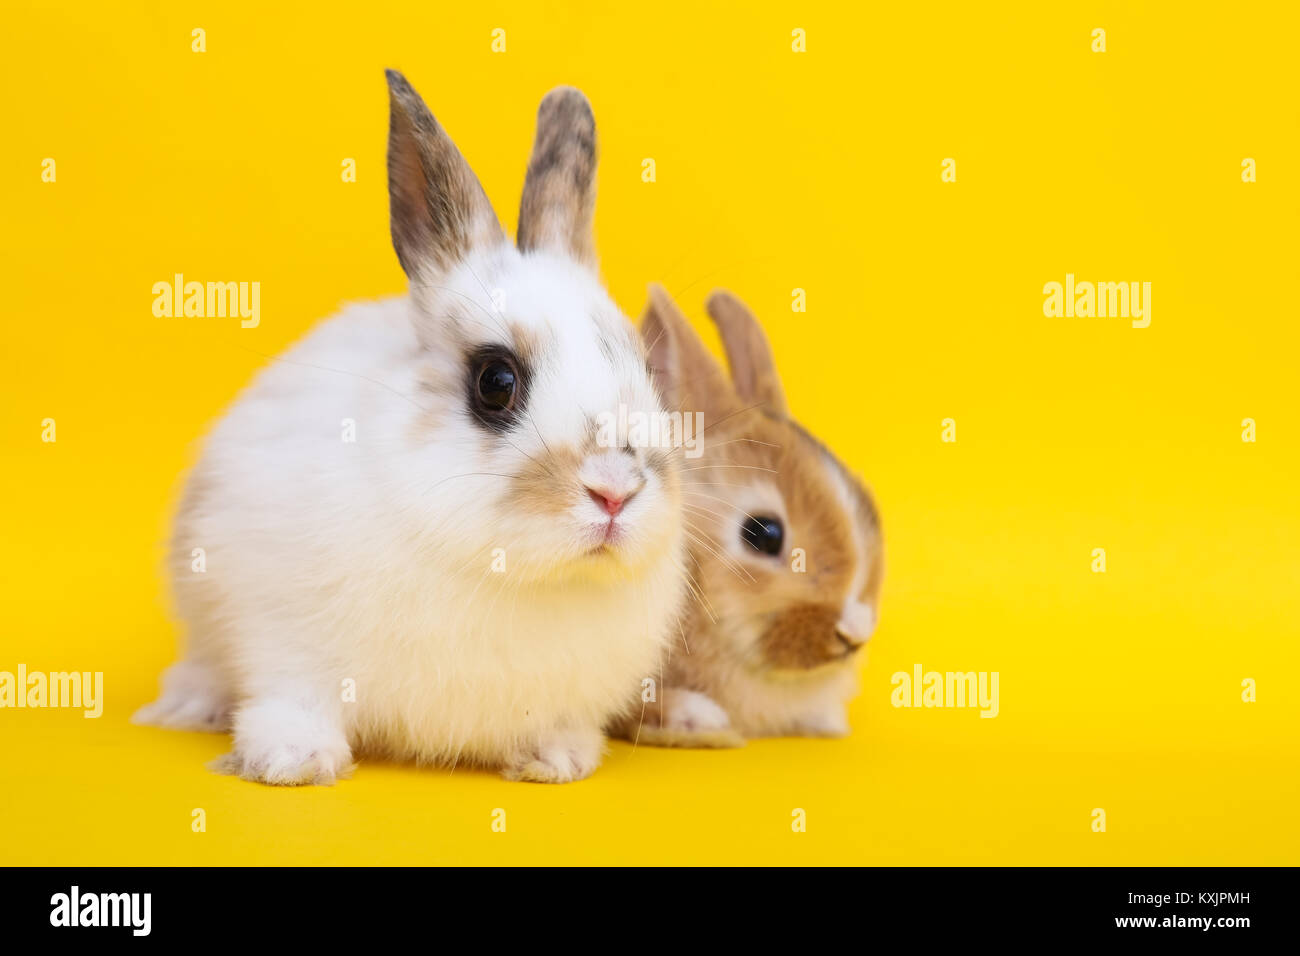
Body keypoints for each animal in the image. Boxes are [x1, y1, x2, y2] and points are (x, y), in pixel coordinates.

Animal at [132, 71, 687, 785]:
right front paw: (293, 762)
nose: (616, 491)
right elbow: (289, 698)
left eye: (646, 368)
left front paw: (557, 760)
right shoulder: (283, 641)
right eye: (496, 381)